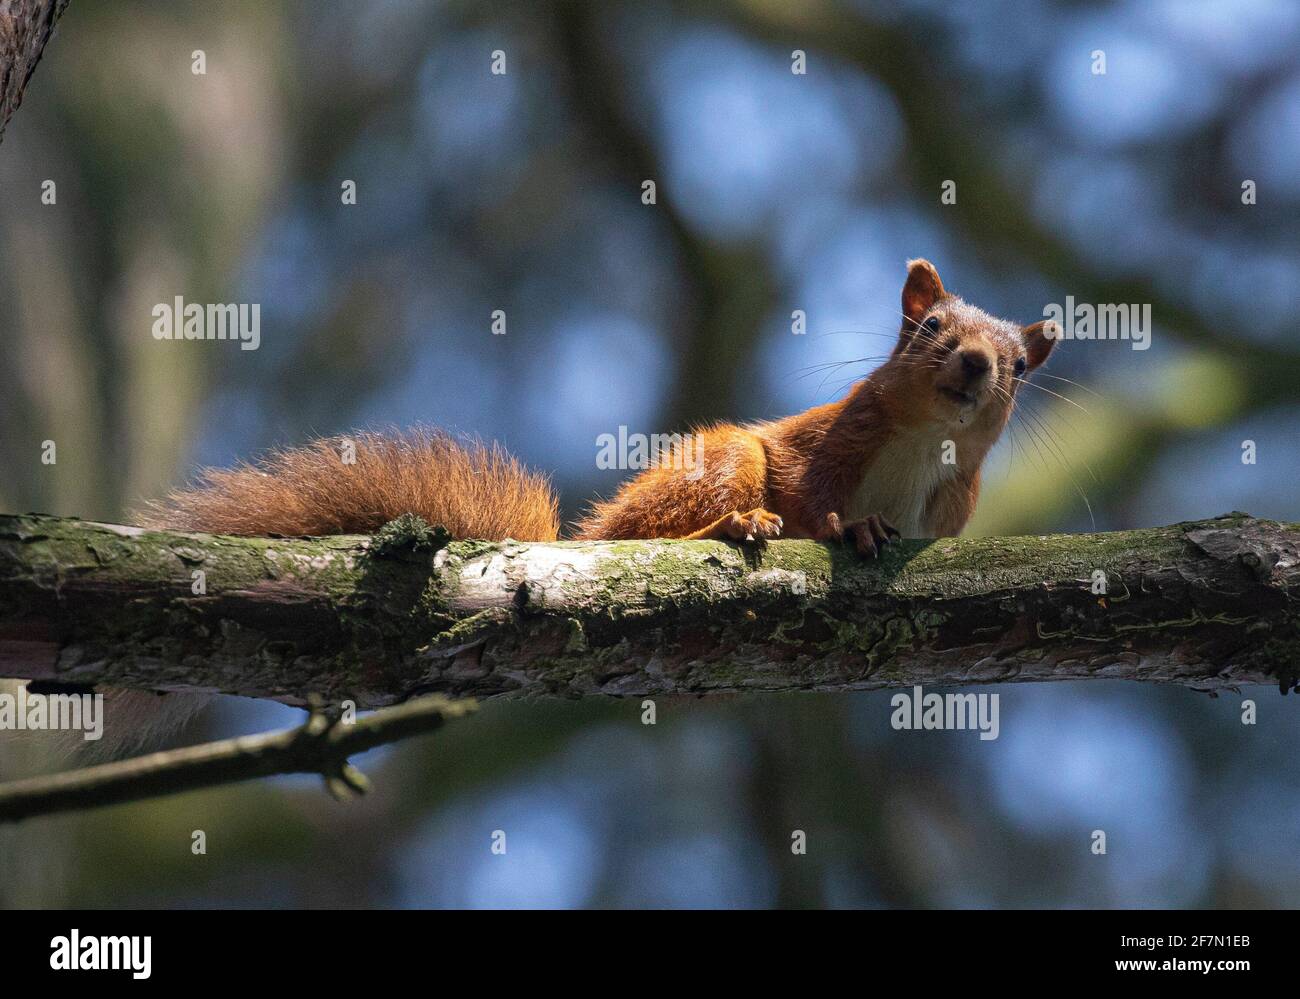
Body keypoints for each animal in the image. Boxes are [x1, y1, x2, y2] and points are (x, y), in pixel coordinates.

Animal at [66, 258, 1055, 756]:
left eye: (1016, 361)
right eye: (931, 329)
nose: (975, 363)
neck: (926, 443)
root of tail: (592, 537)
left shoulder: (950, 507)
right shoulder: (828, 438)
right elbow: (811, 493)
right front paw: (848, 524)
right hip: (718, 463)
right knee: (677, 521)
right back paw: (734, 524)